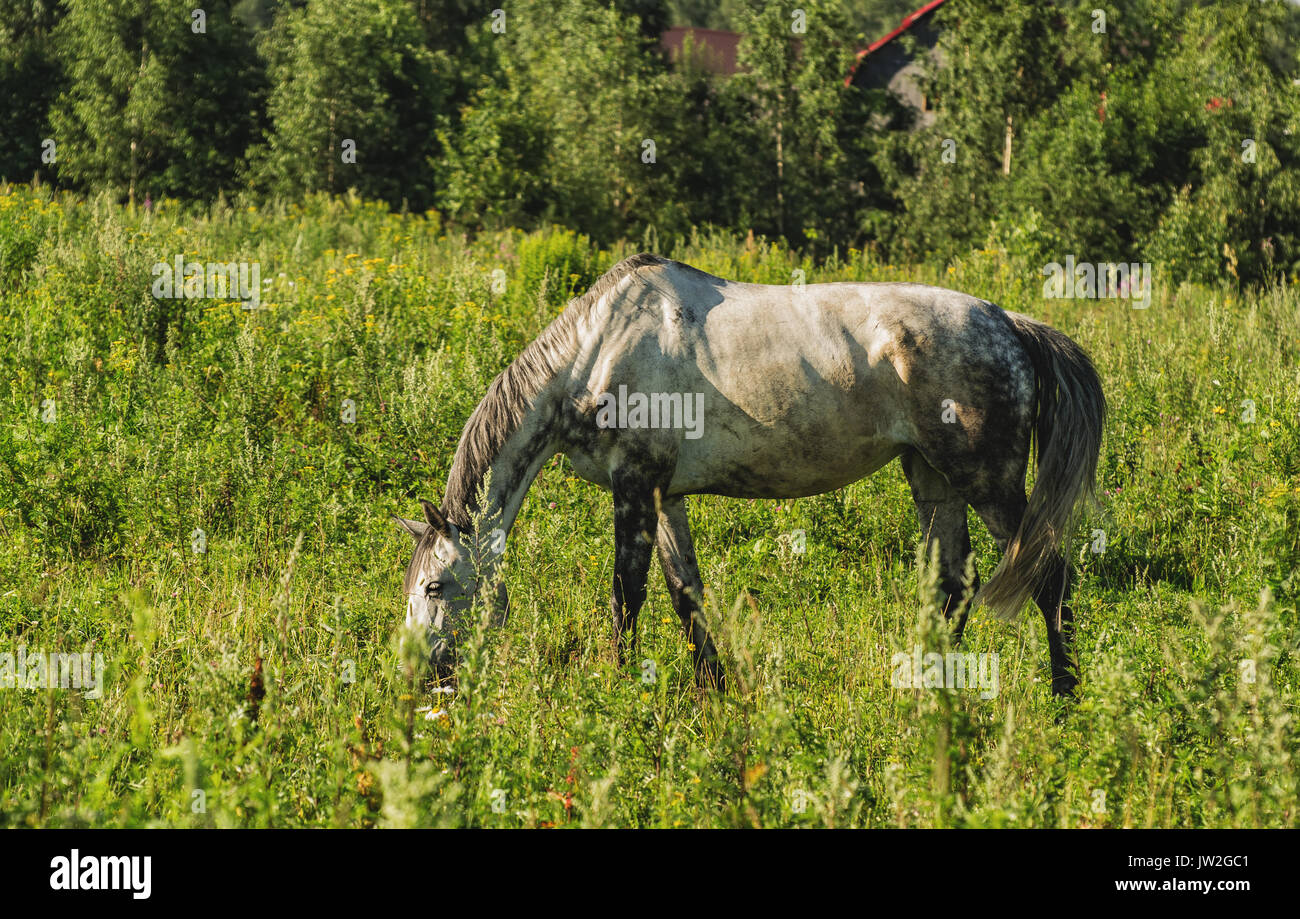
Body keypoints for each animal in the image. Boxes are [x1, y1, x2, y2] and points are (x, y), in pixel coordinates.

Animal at [395, 253, 1105, 696]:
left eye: (435, 585)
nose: (419, 676)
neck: (596, 348)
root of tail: (1011, 324)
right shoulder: (667, 495)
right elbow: (686, 593)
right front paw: (713, 689)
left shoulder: (634, 485)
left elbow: (628, 592)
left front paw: (618, 685)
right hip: (932, 478)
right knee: (956, 584)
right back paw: (932, 687)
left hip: (987, 482)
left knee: (1049, 575)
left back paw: (1064, 696)